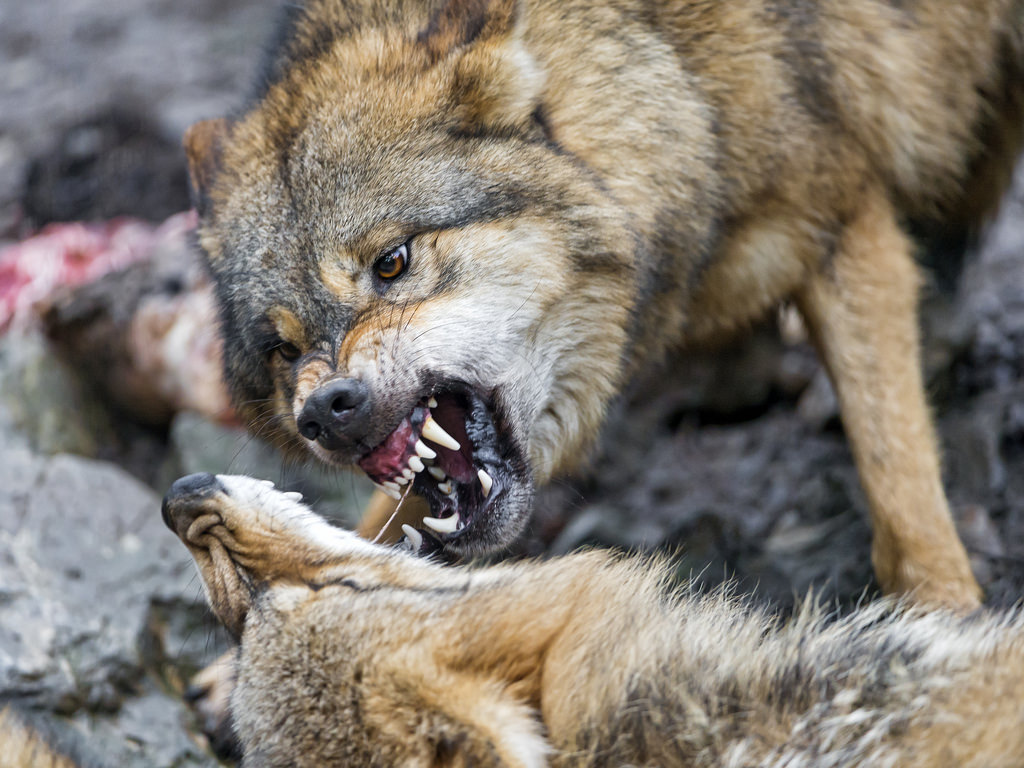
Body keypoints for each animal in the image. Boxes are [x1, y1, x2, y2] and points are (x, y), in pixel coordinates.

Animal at [184, 0, 1024, 607]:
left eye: (392, 263)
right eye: (283, 350)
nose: (326, 411)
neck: (676, 82)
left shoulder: (845, 219)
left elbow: (895, 465)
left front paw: (944, 611)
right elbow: (383, 525)